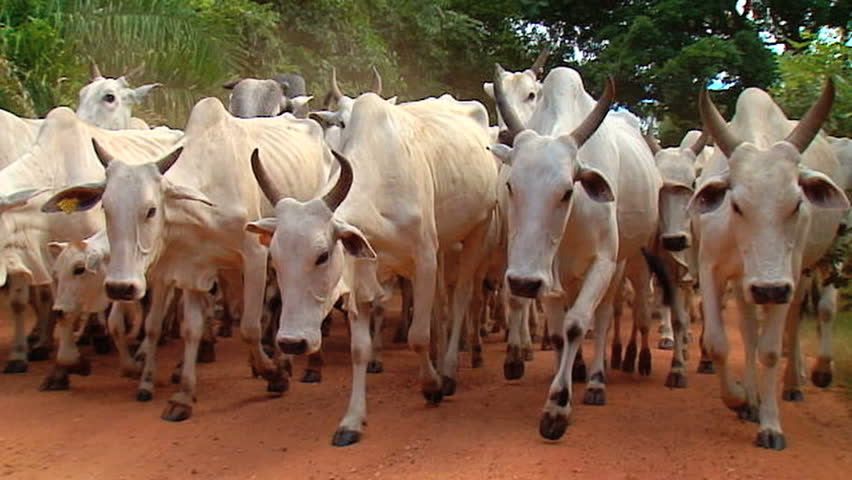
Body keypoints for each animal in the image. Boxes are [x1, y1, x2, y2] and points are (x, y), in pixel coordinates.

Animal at [43, 97, 333, 421]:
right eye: (105, 207)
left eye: (151, 209)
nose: (120, 288)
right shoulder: (193, 269)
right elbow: (189, 328)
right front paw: (183, 394)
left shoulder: (255, 255)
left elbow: (250, 327)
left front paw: (273, 373)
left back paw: (285, 361)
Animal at [246, 91, 499, 446]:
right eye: (276, 258)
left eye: (322, 255)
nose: (292, 343)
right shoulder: (364, 278)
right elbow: (359, 350)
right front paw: (352, 420)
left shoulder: (424, 259)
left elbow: (417, 335)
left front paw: (432, 386)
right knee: (440, 306)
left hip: (477, 229)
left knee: (461, 297)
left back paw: (448, 370)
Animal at [489, 65, 662, 441]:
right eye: (510, 185)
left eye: (567, 191)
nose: (522, 283)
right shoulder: (545, 275)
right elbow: (557, 334)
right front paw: (561, 378)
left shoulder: (603, 263)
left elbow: (577, 324)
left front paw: (558, 405)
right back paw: (578, 369)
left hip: (621, 263)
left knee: (604, 316)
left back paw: (595, 379)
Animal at [689, 79, 848, 449]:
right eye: (736, 204)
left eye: (796, 203)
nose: (769, 288)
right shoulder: (713, 269)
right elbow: (719, 343)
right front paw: (738, 398)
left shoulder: (787, 275)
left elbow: (771, 350)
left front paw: (771, 426)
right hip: (746, 283)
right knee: (748, 332)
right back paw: (751, 398)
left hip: (799, 274)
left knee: (794, 323)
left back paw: (793, 383)